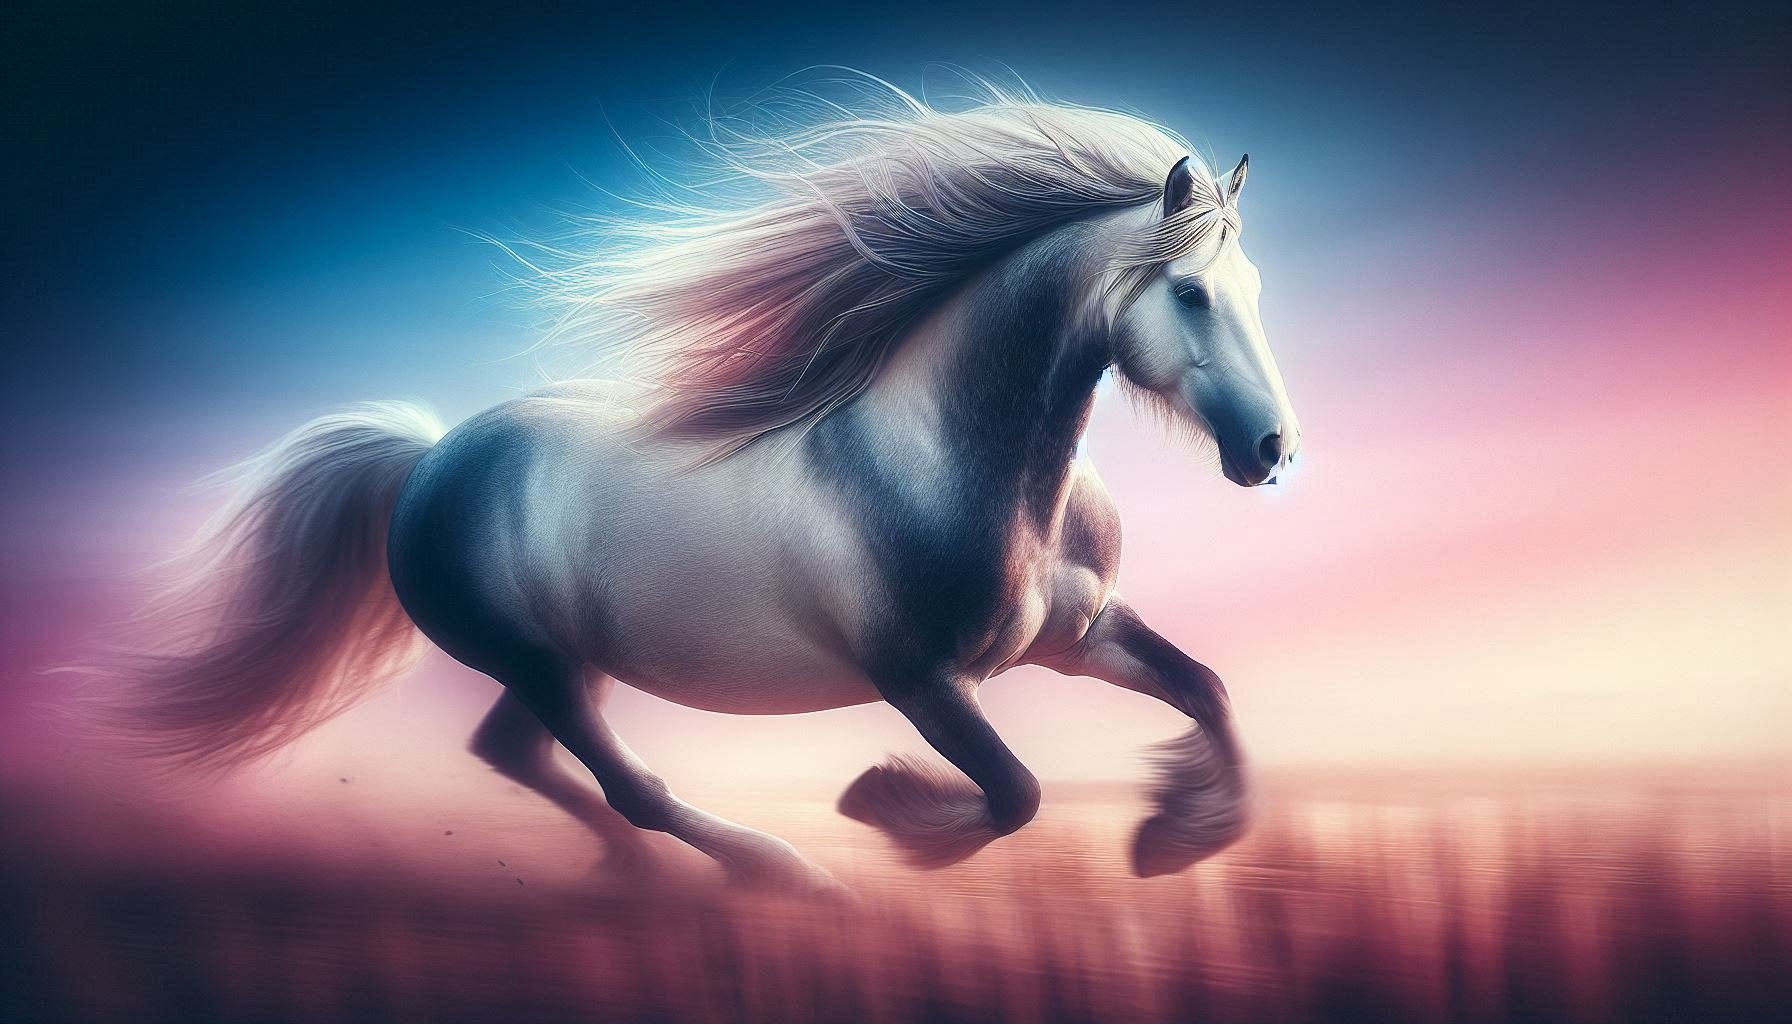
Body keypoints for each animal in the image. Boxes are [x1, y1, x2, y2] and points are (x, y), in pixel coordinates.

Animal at [87, 78, 1301, 894]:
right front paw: (887, 808)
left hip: (563, 660)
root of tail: (427, 460)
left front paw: (1173, 836)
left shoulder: (1078, 636)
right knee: (623, 784)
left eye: (1252, 284)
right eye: (1190, 293)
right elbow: (1015, 793)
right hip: (533, 659)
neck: (959, 469)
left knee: (517, 756)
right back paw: (784, 876)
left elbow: (1206, 690)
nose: (1273, 449)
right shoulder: (919, 680)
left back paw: (651, 885)